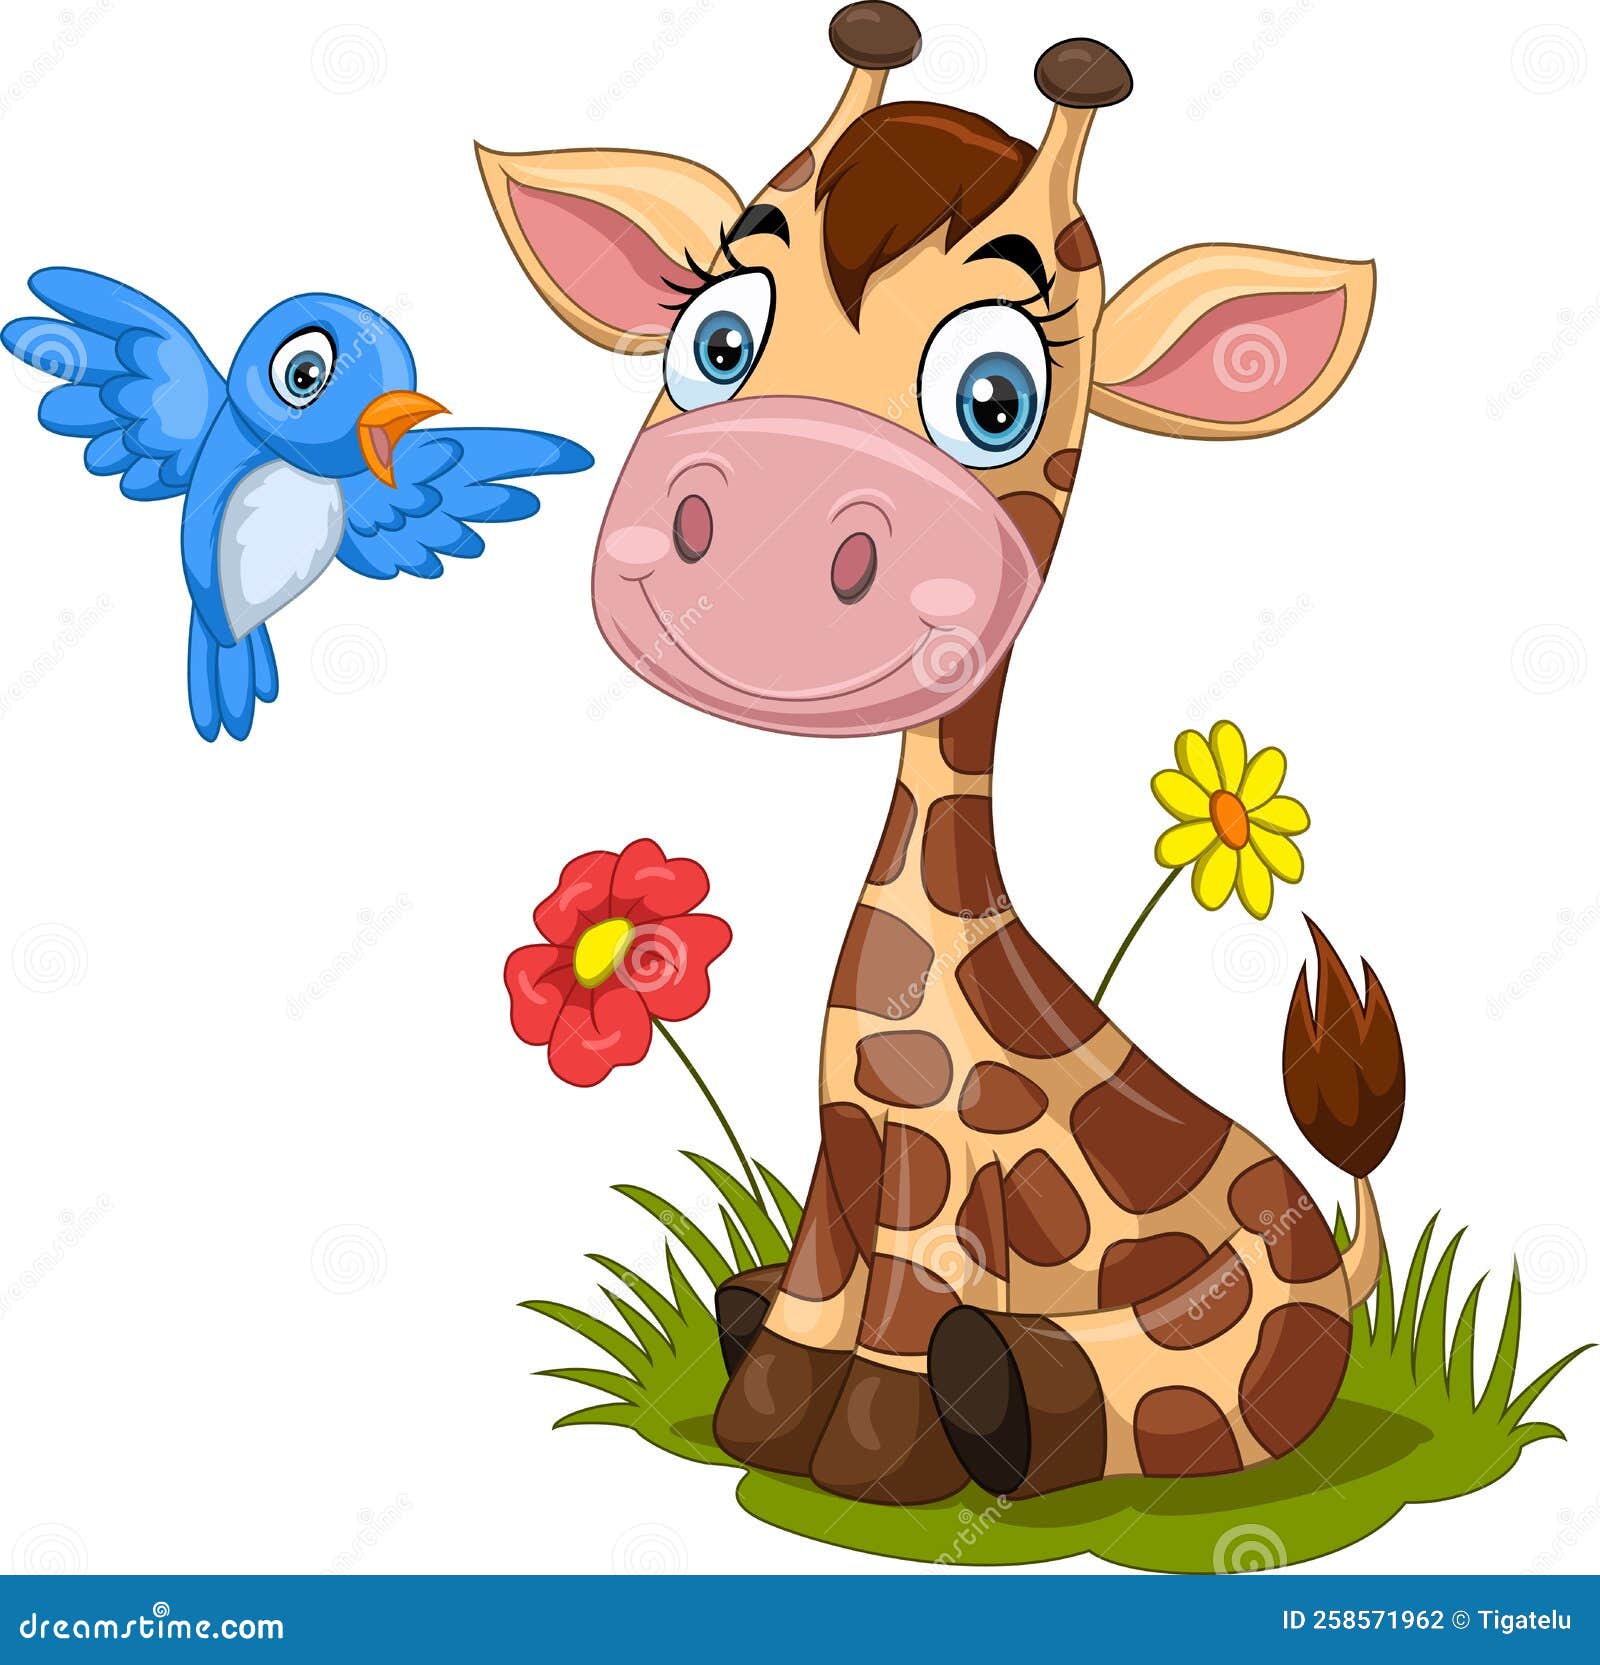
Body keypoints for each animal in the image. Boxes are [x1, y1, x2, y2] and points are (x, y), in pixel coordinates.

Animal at [478, 5, 1400, 1504]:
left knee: (1134, 1393)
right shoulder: (842, 1159)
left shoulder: (946, 1185)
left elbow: (912, 1331)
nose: (769, 514)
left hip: (1244, 1330)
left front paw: (867, 1462)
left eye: (995, 397)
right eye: (716, 340)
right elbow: (801, 1301)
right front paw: (764, 1423)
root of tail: (1345, 1249)